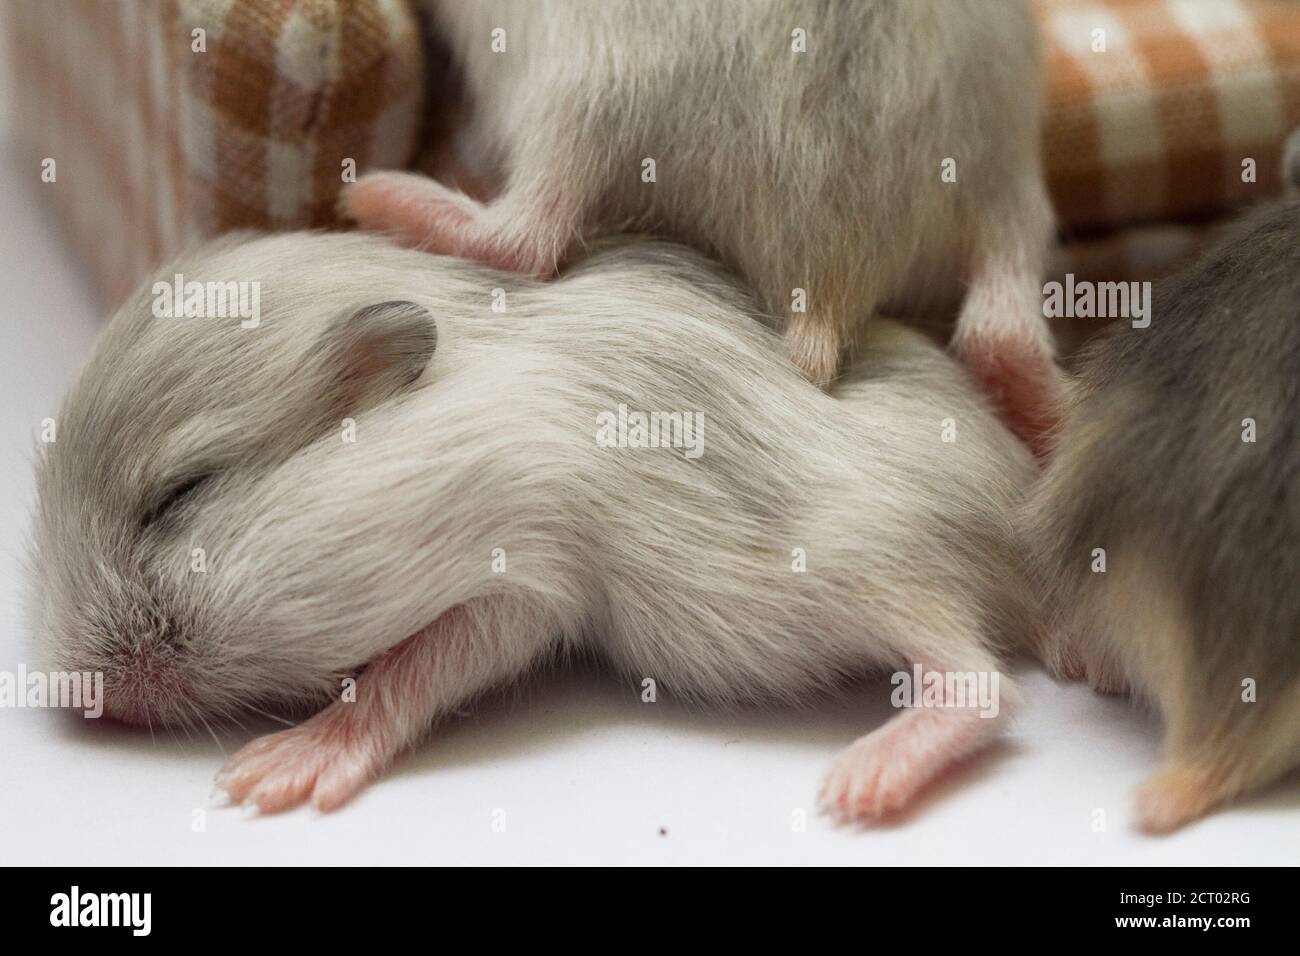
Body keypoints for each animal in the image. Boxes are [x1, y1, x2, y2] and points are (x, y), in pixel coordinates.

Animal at [29, 232, 1036, 820]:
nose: (76, 701)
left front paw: (275, 771)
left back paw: (863, 783)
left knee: (980, 685)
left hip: (870, 569)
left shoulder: (528, 573)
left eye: (181, 495)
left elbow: (405, 675)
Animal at [342, 0, 1060, 450]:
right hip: (1008, 186)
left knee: (523, 239)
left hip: (589, 96)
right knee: (1001, 336)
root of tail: (830, 284)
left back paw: (376, 195)